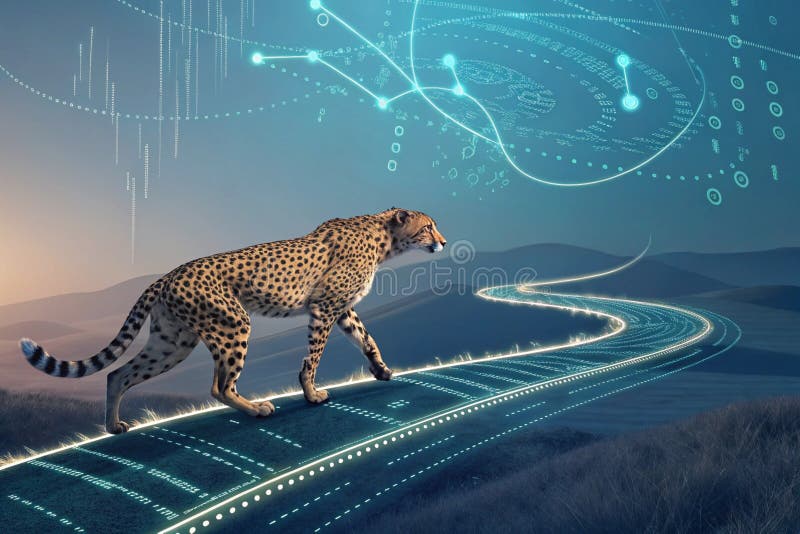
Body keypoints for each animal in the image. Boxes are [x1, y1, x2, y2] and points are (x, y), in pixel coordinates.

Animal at [19, 208, 447, 434]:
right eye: (427, 226)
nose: (442, 241)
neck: (381, 236)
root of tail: (167, 275)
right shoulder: (324, 308)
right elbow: (313, 357)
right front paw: (311, 394)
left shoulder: (341, 309)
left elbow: (367, 339)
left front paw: (382, 370)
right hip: (232, 325)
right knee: (219, 385)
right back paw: (257, 409)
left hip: (172, 343)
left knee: (117, 373)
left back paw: (114, 426)